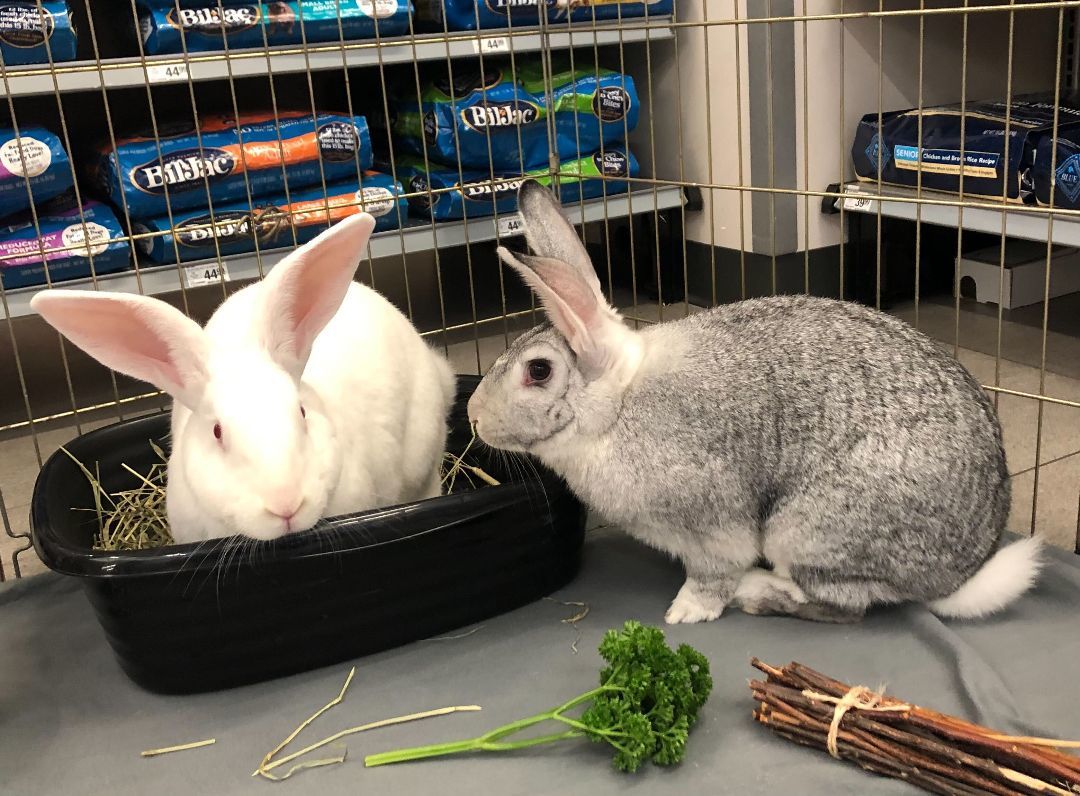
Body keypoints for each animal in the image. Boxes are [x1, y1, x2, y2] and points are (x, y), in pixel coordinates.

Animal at [467, 180, 1042, 625]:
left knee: (844, 606)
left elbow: (714, 572)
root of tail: (955, 576)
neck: (619, 404)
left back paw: (758, 594)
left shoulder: (712, 525)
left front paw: (687, 611)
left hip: (809, 529)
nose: (473, 417)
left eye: (538, 371)